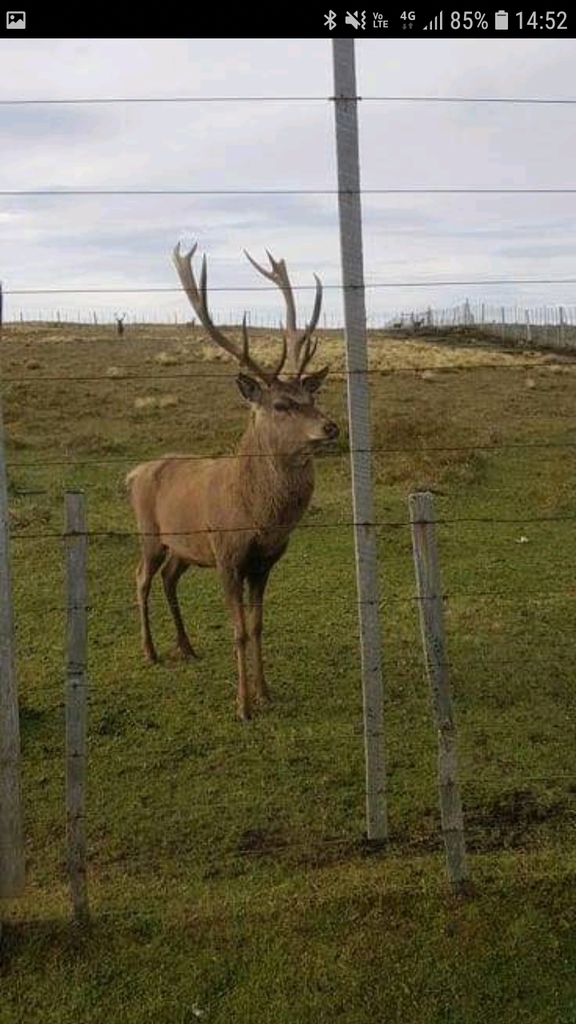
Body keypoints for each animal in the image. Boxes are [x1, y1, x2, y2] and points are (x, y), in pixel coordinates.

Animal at [126, 243, 339, 721]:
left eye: (311, 395)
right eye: (281, 404)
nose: (331, 426)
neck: (257, 515)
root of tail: (133, 473)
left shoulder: (265, 560)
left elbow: (258, 626)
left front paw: (267, 692)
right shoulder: (227, 554)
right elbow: (238, 629)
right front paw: (243, 705)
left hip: (184, 546)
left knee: (169, 578)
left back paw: (186, 646)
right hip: (150, 532)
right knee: (142, 577)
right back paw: (150, 652)